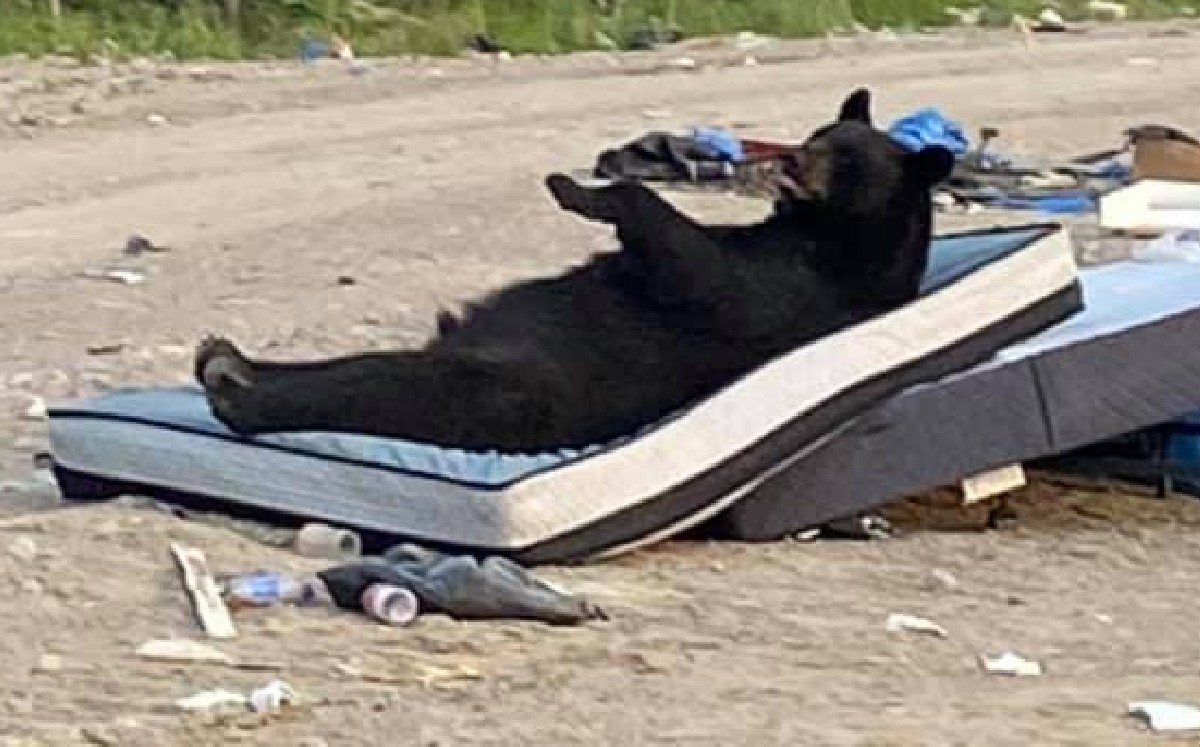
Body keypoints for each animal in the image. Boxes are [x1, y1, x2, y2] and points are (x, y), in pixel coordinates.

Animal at [194, 88, 954, 454]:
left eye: (845, 158)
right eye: (819, 134)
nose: (787, 159)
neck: (837, 239)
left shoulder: (796, 290)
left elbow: (696, 265)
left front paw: (574, 187)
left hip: (500, 388)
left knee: (381, 385)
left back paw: (238, 393)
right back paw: (227, 357)